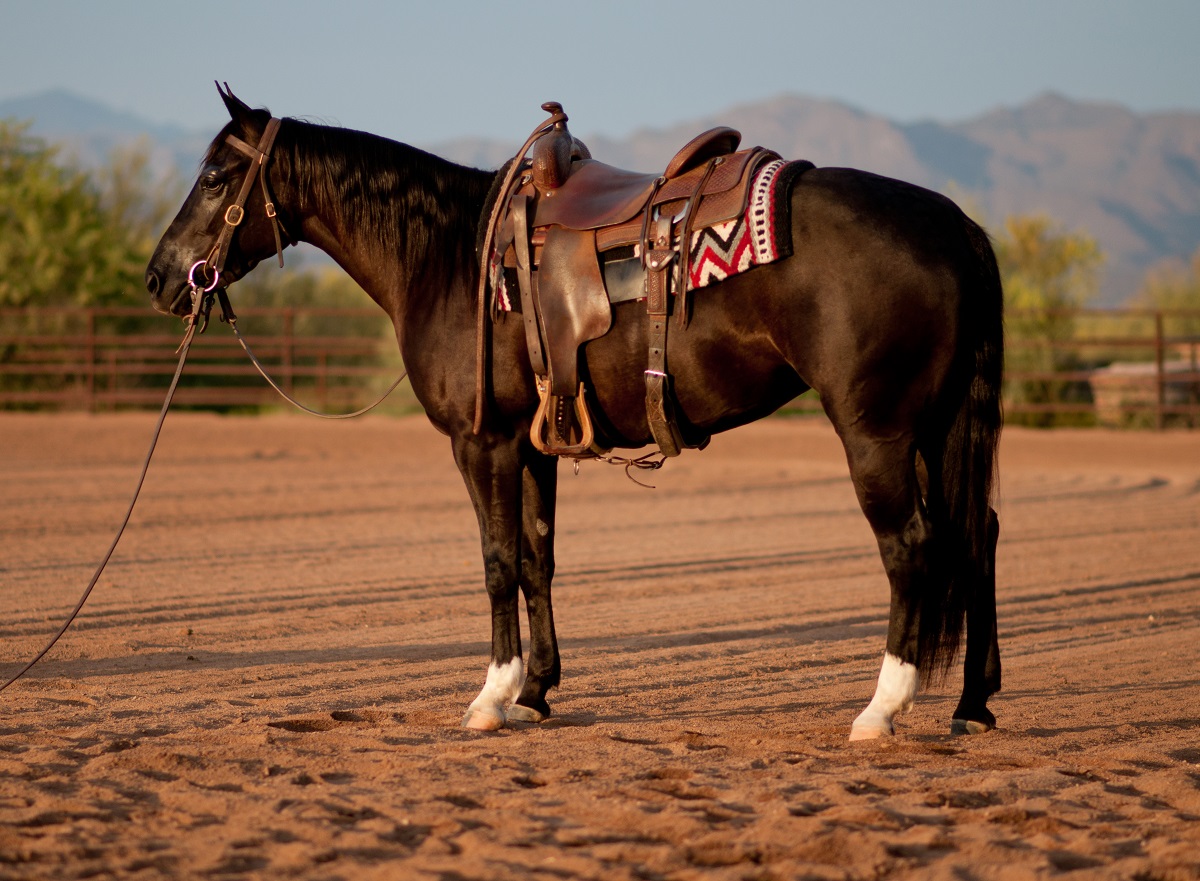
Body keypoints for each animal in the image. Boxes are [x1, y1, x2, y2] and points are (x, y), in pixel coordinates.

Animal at [146, 87, 1003, 740]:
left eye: (217, 175)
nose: (161, 276)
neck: (450, 255)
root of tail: (952, 223)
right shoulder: (533, 446)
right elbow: (538, 559)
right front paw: (536, 691)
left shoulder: (482, 443)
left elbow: (497, 561)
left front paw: (490, 697)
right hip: (938, 428)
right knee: (976, 536)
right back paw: (972, 702)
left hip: (877, 433)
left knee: (912, 547)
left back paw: (882, 709)